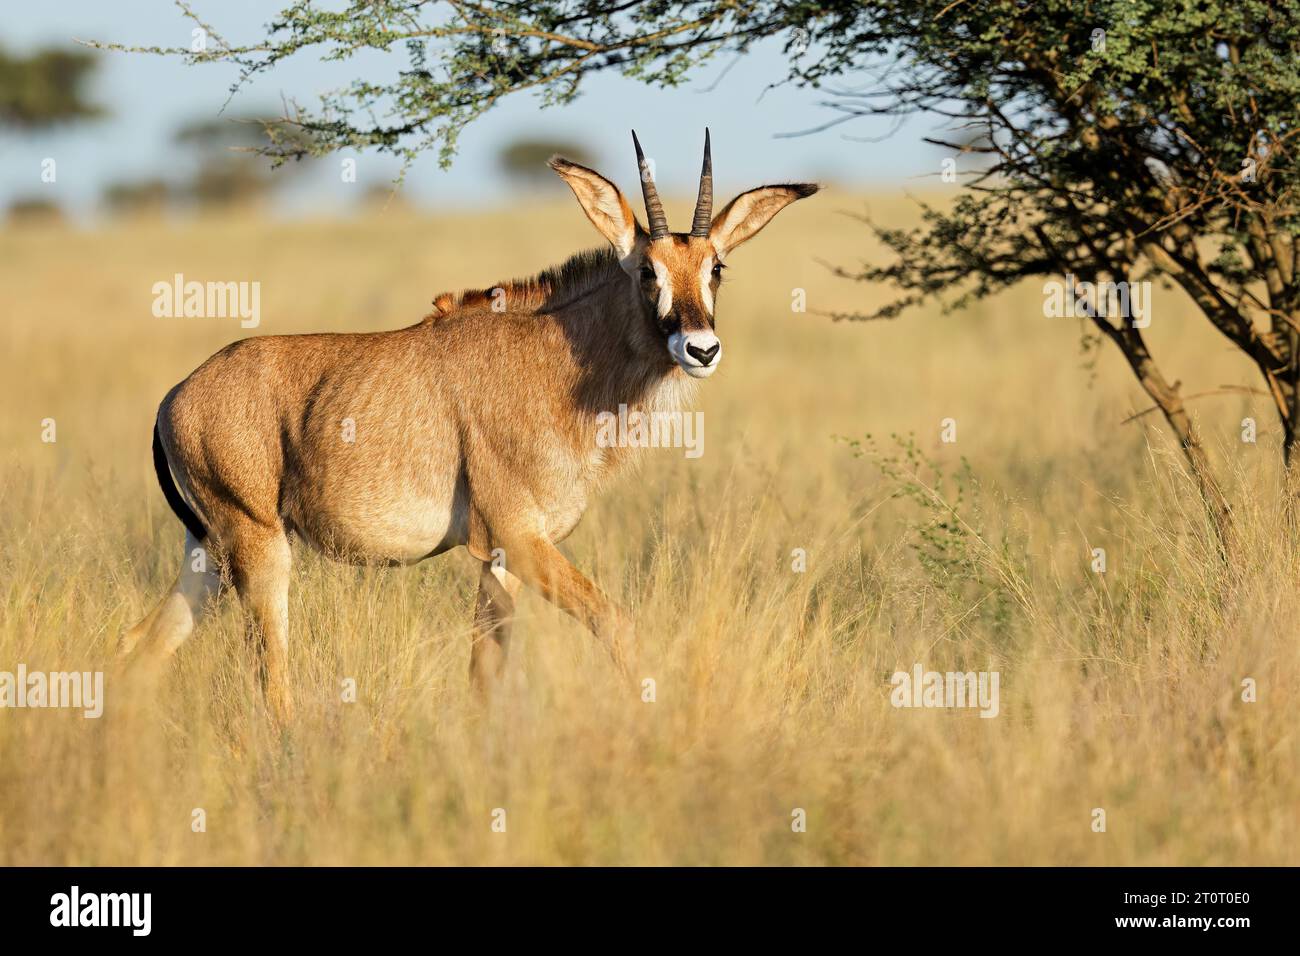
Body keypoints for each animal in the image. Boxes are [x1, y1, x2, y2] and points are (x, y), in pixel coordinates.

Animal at [120, 131, 817, 720]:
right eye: (648, 270)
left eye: (716, 267)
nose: (701, 347)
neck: (556, 360)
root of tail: (176, 398)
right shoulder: (519, 537)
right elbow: (616, 622)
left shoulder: (502, 559)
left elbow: (484, 673)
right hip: (259, 548)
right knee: (271, 681)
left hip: (209, 555)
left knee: (141, 647)